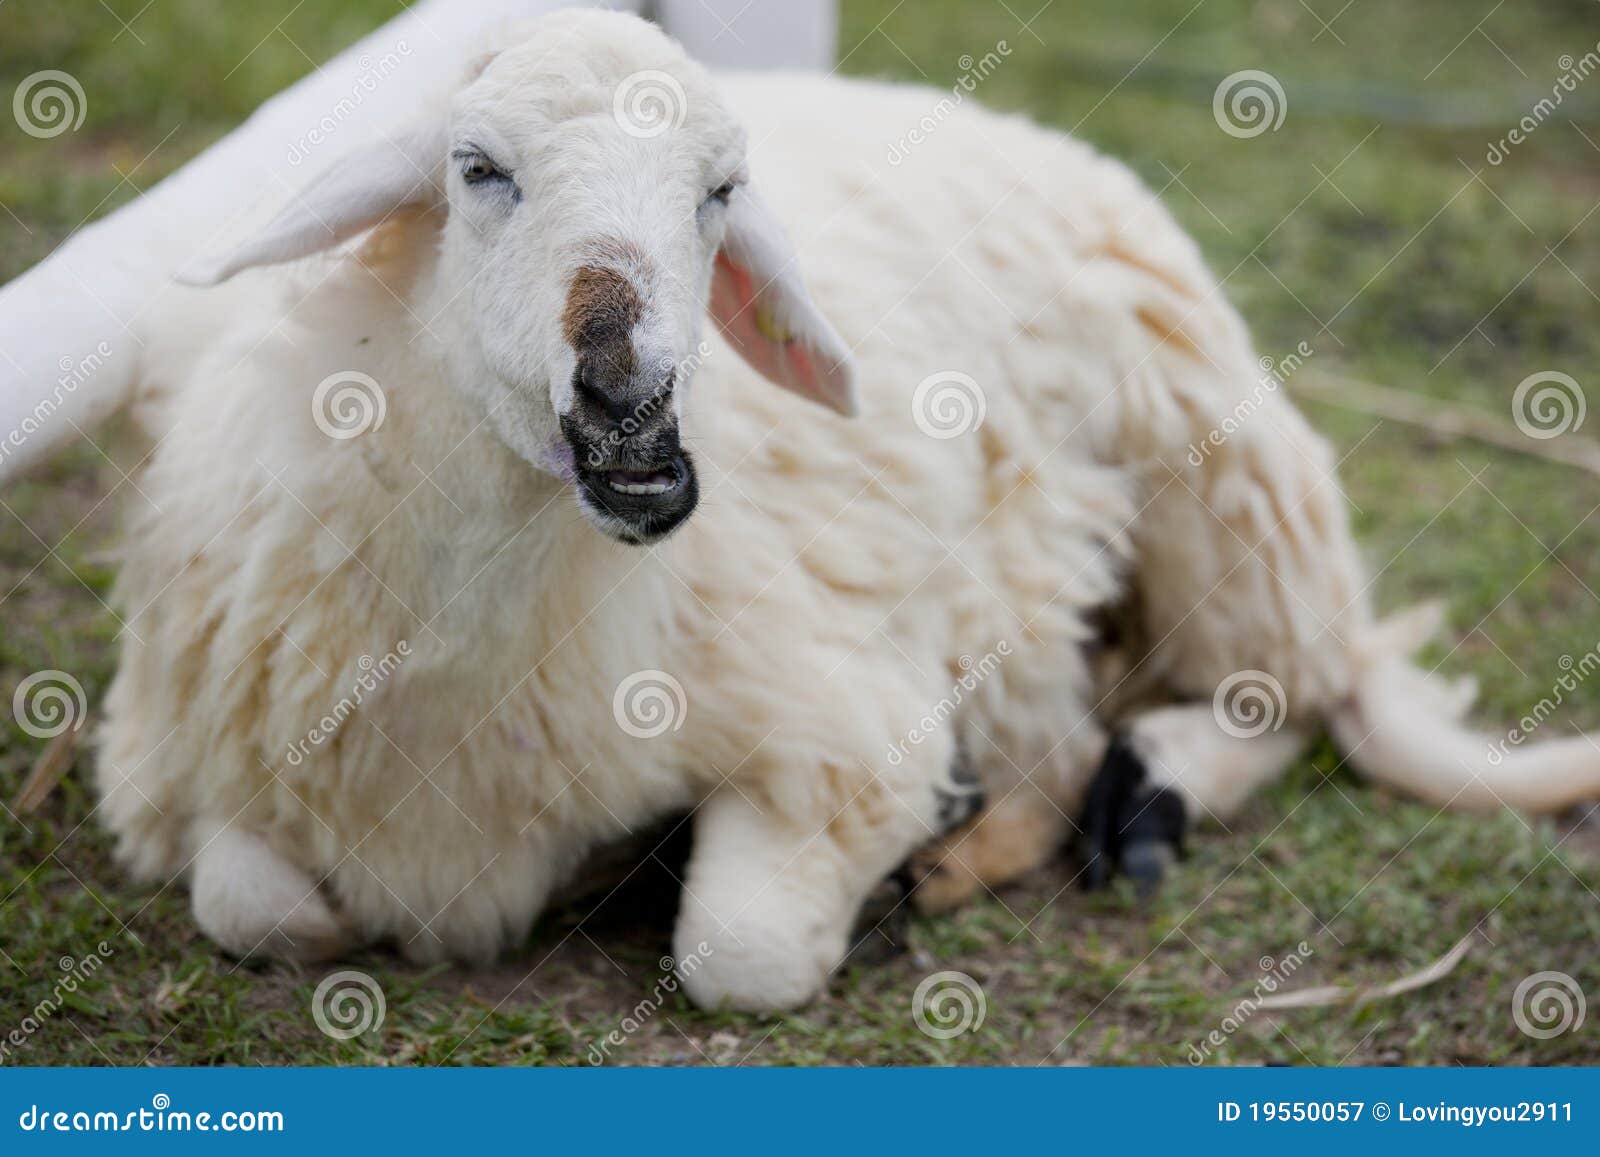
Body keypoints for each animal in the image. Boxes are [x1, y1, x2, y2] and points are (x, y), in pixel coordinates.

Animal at [19, 9, 1598, 1012]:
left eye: (720, 192)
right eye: (476, 170)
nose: (630, 396)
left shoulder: (840, 720)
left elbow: (743, 957)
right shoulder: (191, 763)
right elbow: (256, 908)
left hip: (1223, 483)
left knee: (1288, 696)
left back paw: (1121, 806)